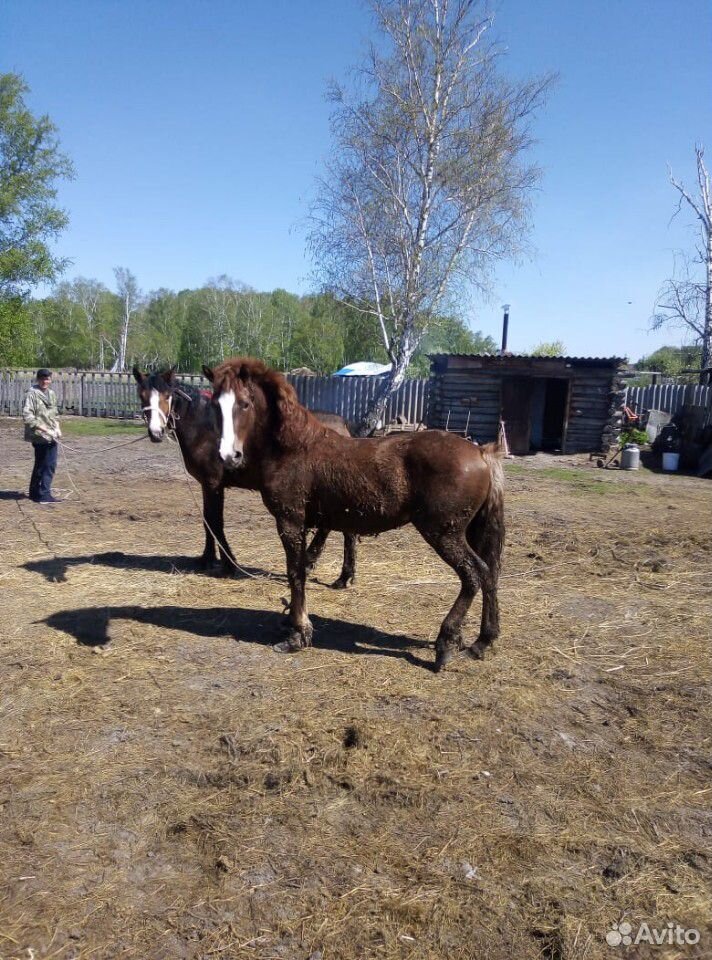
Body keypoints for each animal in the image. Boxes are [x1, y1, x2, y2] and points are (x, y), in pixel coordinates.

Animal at [132, 367, 357, 587]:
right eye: (142, 395)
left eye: (166, 395)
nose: (156, 433)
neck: (204, 428)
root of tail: (343, 427)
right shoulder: (206, 484)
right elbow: (207, 521)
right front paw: (207, 559)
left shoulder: (213, 484)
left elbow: (215, 522)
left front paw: (229, 564)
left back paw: (334, 572)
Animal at [205, 357, 505, 672]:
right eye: (214, 404)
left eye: (245, 404)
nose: (229, 456)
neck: (293, 447)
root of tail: (481, 453)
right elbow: (303, 566)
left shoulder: (290, 522)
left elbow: (296, 571)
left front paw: (298, 635)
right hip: (467, 531)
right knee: (490, 573)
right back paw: (482, 642)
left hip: (444, 533)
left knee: (473, 573)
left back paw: (446, 642)